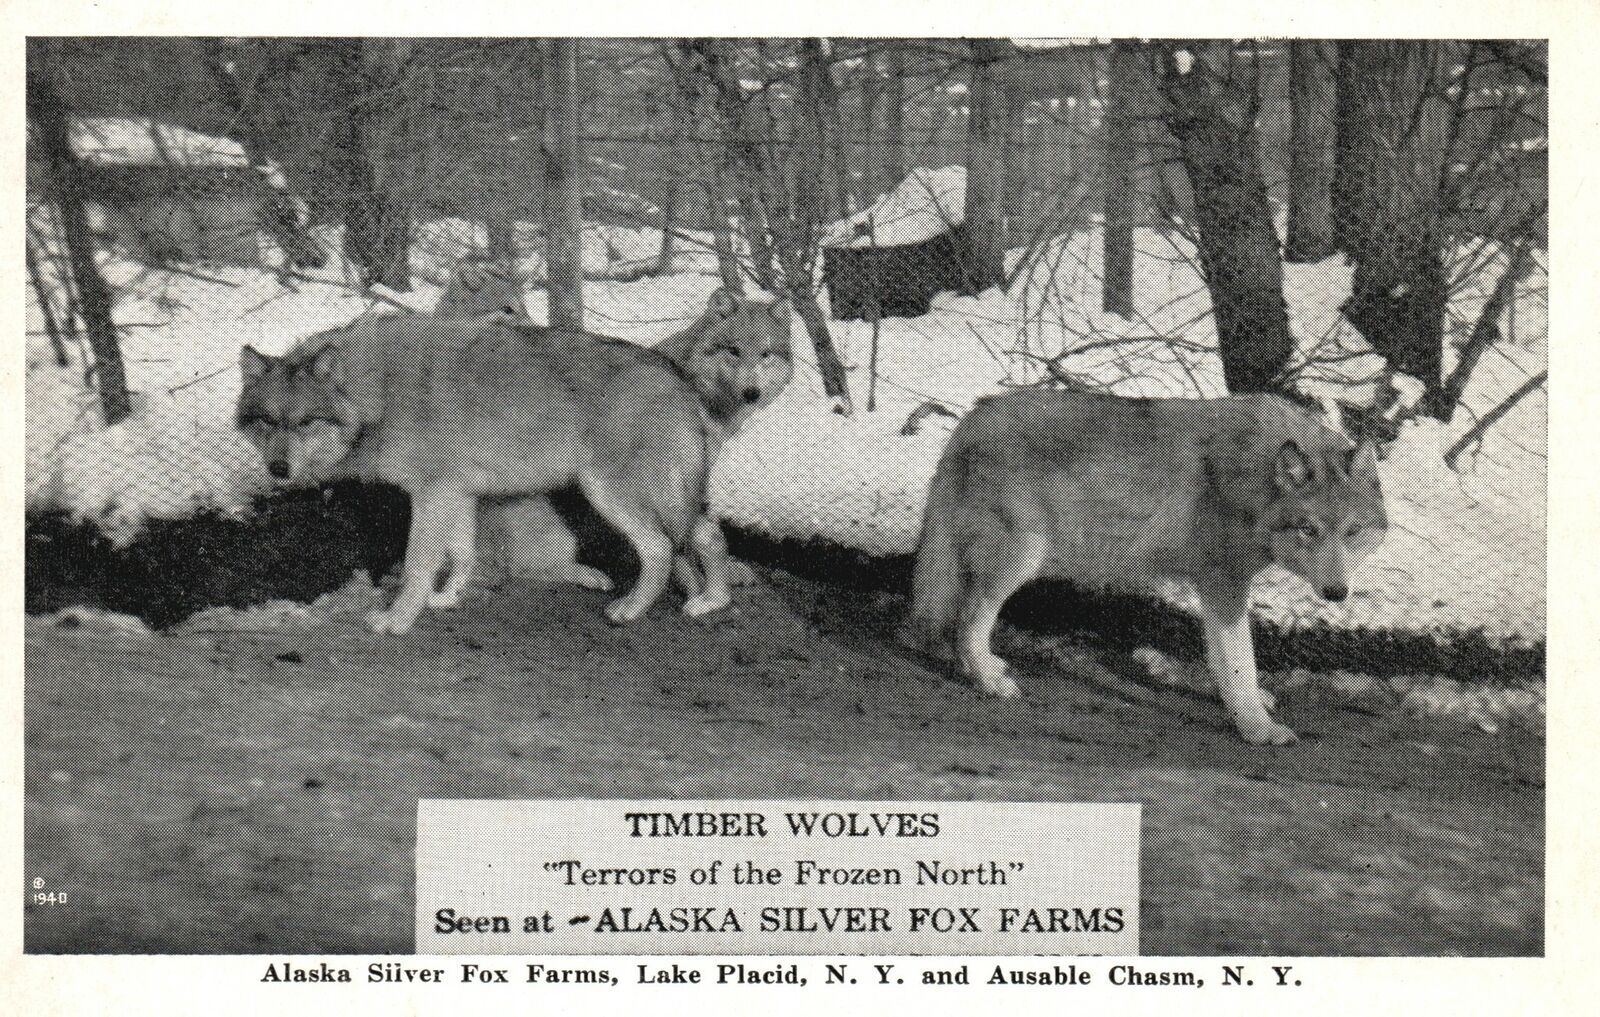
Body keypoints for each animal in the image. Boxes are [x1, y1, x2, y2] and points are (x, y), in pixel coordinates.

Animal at [237, 314, 731, 634]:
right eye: (267, 421)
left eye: (305, 422)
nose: (278, 468)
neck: (377, 392)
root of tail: (679, 376)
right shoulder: (456, 495)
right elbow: (462, 554)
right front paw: (445, 599)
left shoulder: (432, 496)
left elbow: (418, 564)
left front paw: (397, 620)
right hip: (660, 499)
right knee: (708, 536)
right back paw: (711, 601)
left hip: (609, 495)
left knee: (661, 549)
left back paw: (629, 609)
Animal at [478, 287, 793, 597]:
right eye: (733, 351)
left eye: (765, 354)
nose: (751, 392)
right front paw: (697, 587)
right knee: (523, 570)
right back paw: (592, 576)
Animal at [901, 388, 1387, 746]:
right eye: (1308, 530)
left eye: (1352, 532)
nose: (1337, 593)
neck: (1255, 479)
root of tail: (973, 415)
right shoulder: (1223, 585)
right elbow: (1240, 664)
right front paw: (1257, 729)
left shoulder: (1213, 591)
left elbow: (1220, 661)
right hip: (1020, 562)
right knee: (966, 621)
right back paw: (987, 680)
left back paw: (985, 667)